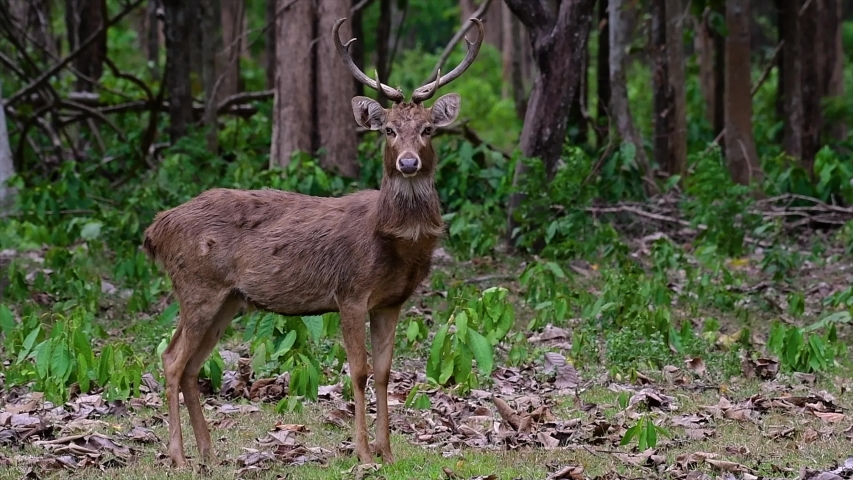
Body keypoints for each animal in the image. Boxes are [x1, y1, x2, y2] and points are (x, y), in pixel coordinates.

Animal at [142, 16, 484, 468]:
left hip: (228, 298)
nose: (408, 162)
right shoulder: (351, 291)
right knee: (170, 359)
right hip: (197, 285)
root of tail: (155, 230)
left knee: (191, 365)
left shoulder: (392, 301)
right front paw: (364, 455)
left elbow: (384, 372)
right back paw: (180, 456)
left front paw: (388, 452)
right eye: (389, 130)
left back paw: (208, 454)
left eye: (428, 130)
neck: (394, 242)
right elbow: (358, 371)